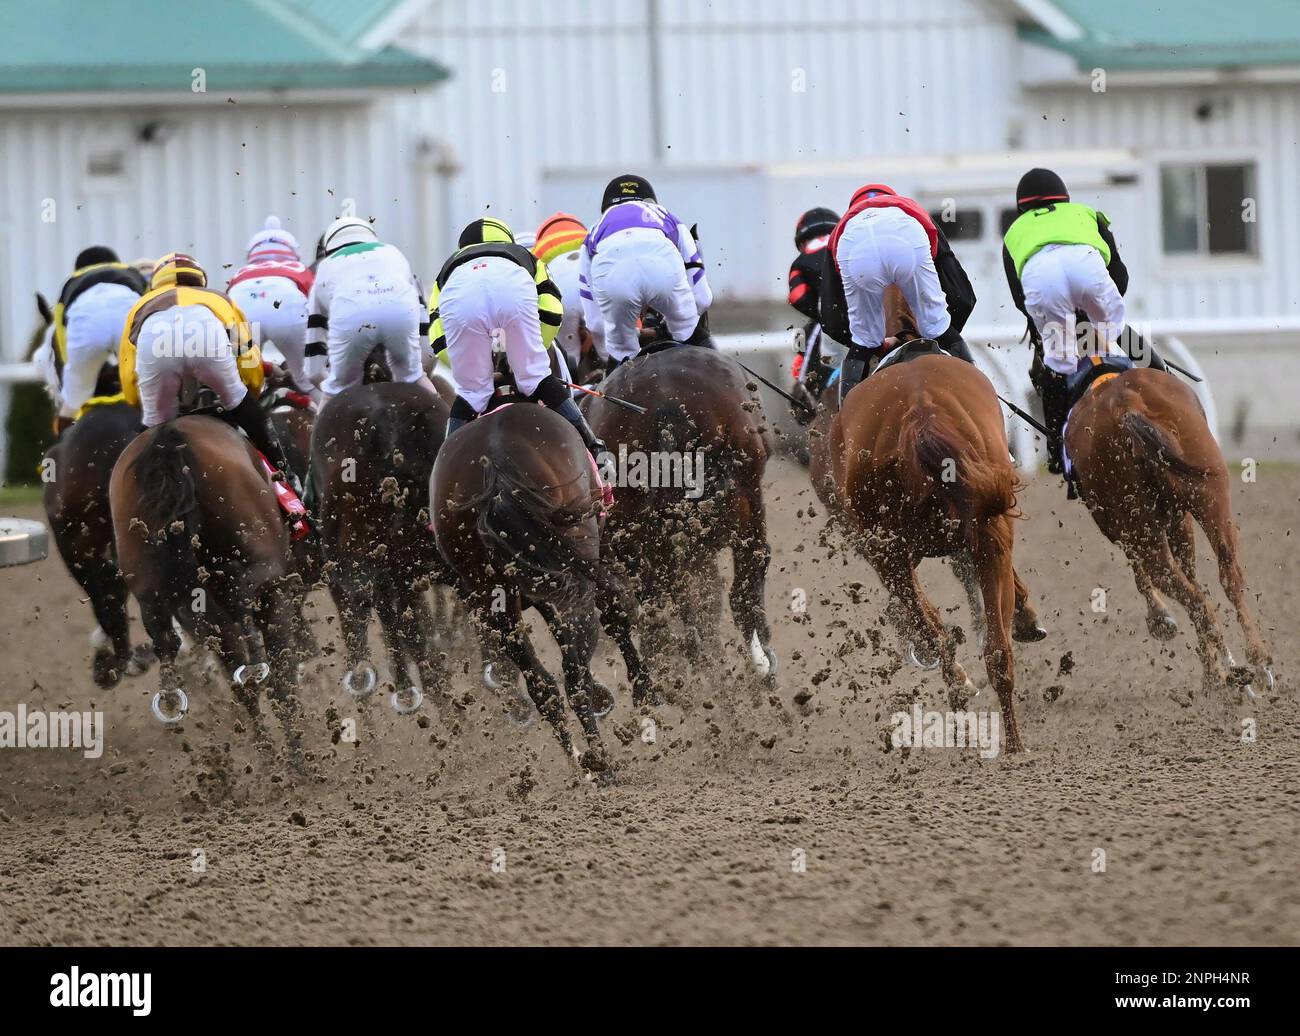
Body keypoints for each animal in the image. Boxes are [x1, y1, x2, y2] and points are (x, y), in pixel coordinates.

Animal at [110, 416, 306, 754]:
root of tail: (167, 441)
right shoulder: (276, 587)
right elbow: (285, 676)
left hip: (156, 585)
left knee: (167, 634)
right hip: (262, 575)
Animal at [431, 403, 656, 785]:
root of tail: (494, 466)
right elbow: (615, 613)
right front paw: (644, 688)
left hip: (492, 598)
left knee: (542, 685)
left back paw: (579, 761)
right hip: (576, 568)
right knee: (574, 672)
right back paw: (603, 764)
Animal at [828, 332, 1030, 753]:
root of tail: (920, 413)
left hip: (893, 552)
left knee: (956, 636)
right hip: (963, 532)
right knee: (990, 646)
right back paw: (1010, 741)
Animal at [1064, 364, 1272, 697]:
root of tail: (1125, 403)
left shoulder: (1144, 527)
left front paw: (1160, 618)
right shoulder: (1178, 519)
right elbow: (1192, 576)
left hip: (1147, 530)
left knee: (1189, 593)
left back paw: (1229, 672)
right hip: (1211, 496)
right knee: (1225, 576)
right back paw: (1254, 663)